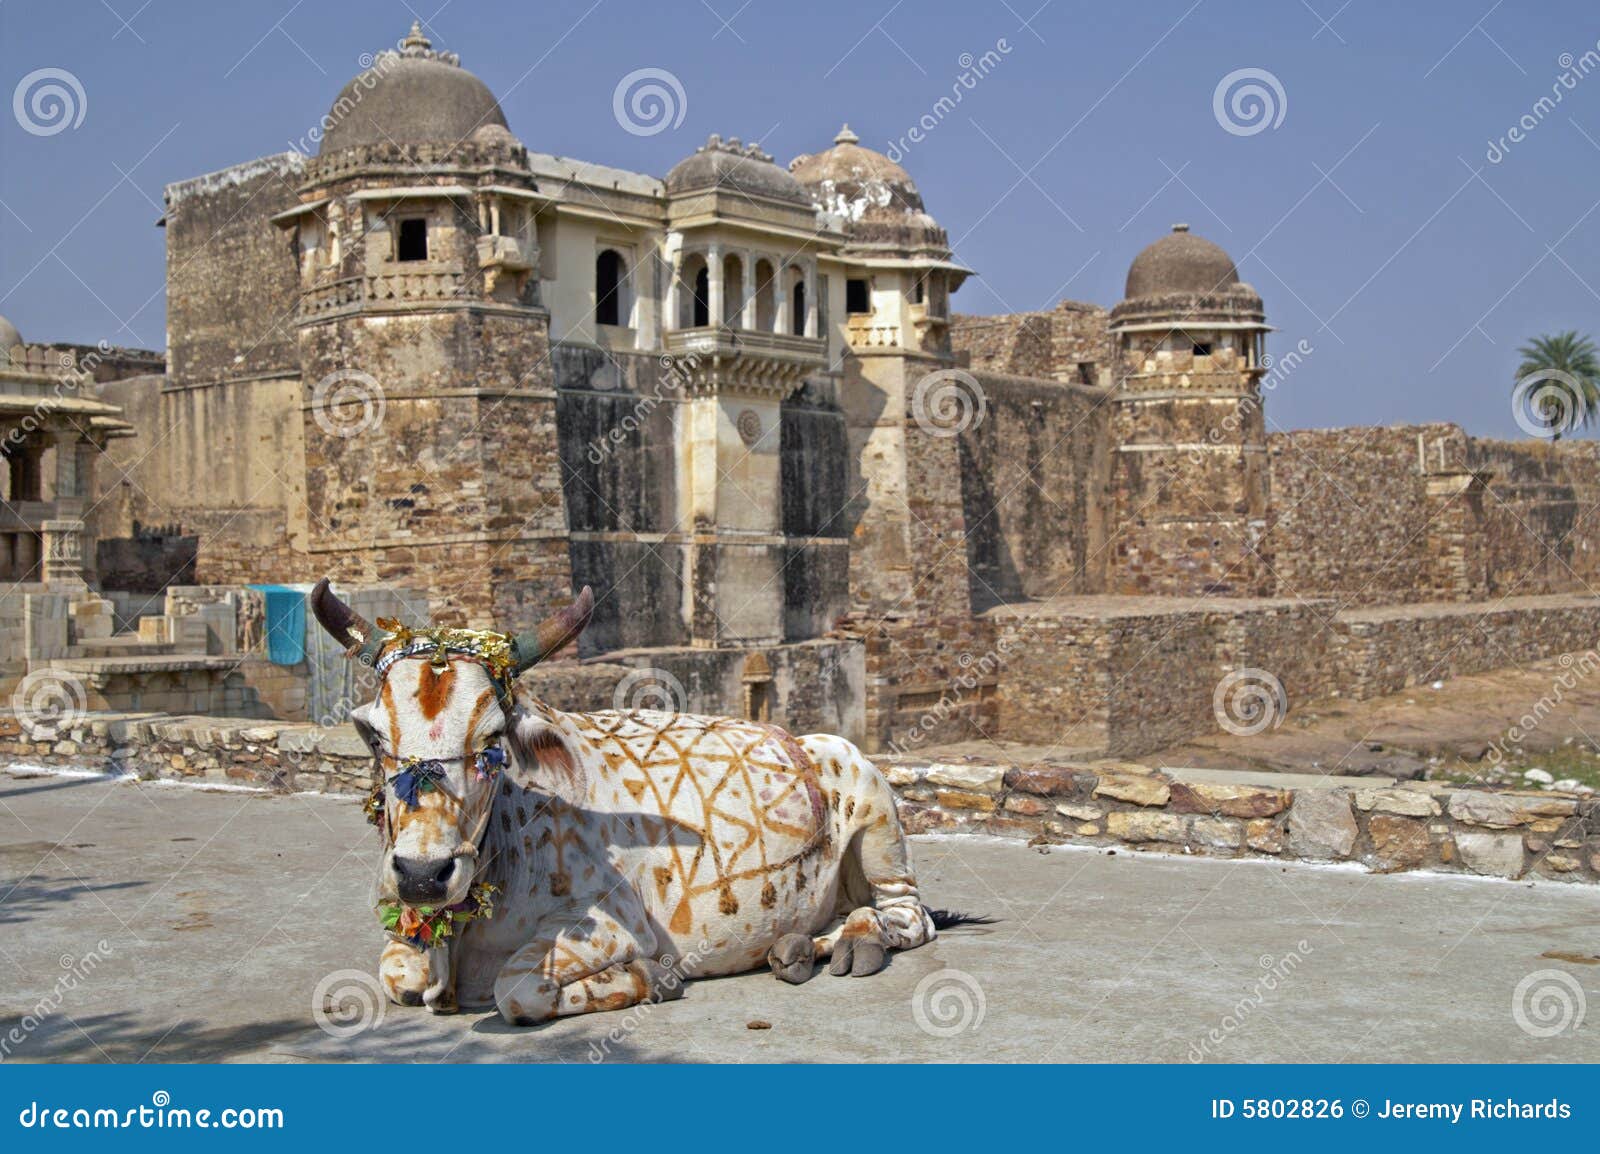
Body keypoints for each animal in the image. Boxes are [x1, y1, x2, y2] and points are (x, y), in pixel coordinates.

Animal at [310, 579, 983, 1025]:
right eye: (376, 737)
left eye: (493, 741)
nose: (423, 874)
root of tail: (812, 738)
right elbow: (397, 975)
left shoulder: (614, 925)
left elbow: (515, 991)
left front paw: (653, 980)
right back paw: (796, 946)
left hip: (876, 815)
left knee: (907, 915)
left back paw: (853, 943)